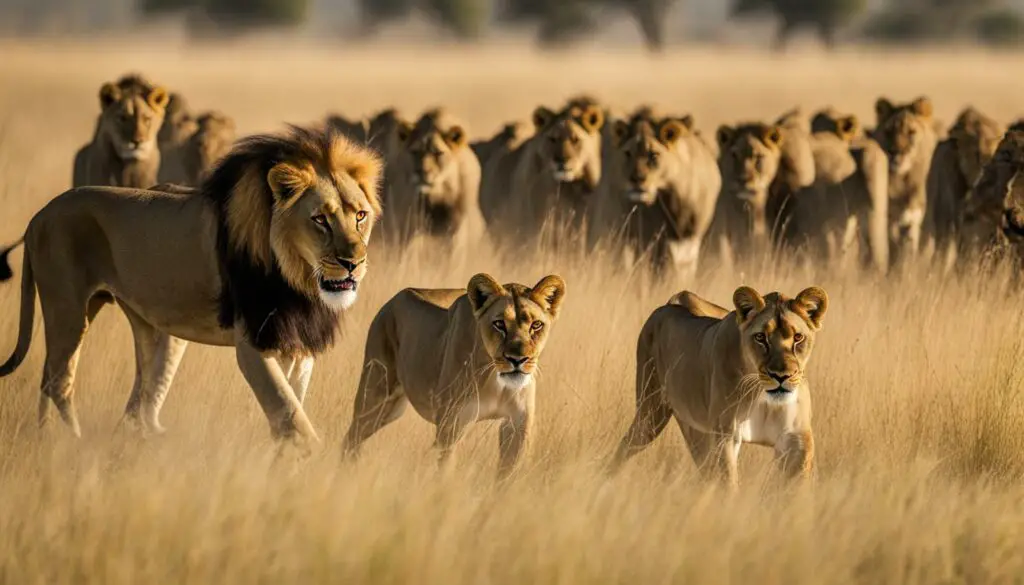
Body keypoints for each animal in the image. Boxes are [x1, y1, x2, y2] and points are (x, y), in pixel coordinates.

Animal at [0, 124, 383, 448]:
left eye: (360, 216)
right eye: (320, 219)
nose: (354, 263)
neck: (299, 281)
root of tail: (38, 216)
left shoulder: (298, 343)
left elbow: (293, 403)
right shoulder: (253, 343)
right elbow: (289, 411)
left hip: (152, 327)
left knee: (134, 397)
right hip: (68, 307)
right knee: (59, 382)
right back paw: (72, 443)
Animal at [341, 273, 566, 479]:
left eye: (536, 325)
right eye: (499, 324)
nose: (517, 359)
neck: (495, 379)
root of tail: (392, 301)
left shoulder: (518, 425)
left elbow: (507, 477)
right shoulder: (451, 427)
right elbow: (445, 472)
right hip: (376, 400)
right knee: (351, 438)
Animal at [606, 285, 828, 489]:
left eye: (798, 337)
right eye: (760, 338)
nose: (781, 376)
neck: (762, 395)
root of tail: (674, 300)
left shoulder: (796, 438)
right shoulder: (726, 436)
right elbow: (728, 485)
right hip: (651, 413)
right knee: (625, 447)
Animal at [872, 96, 940, 263]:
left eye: (911, 132)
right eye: (889, 132)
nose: (894, 152)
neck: (902, 180)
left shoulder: (919, 217)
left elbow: (914, 247)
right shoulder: (890, 217)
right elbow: (894, 247)